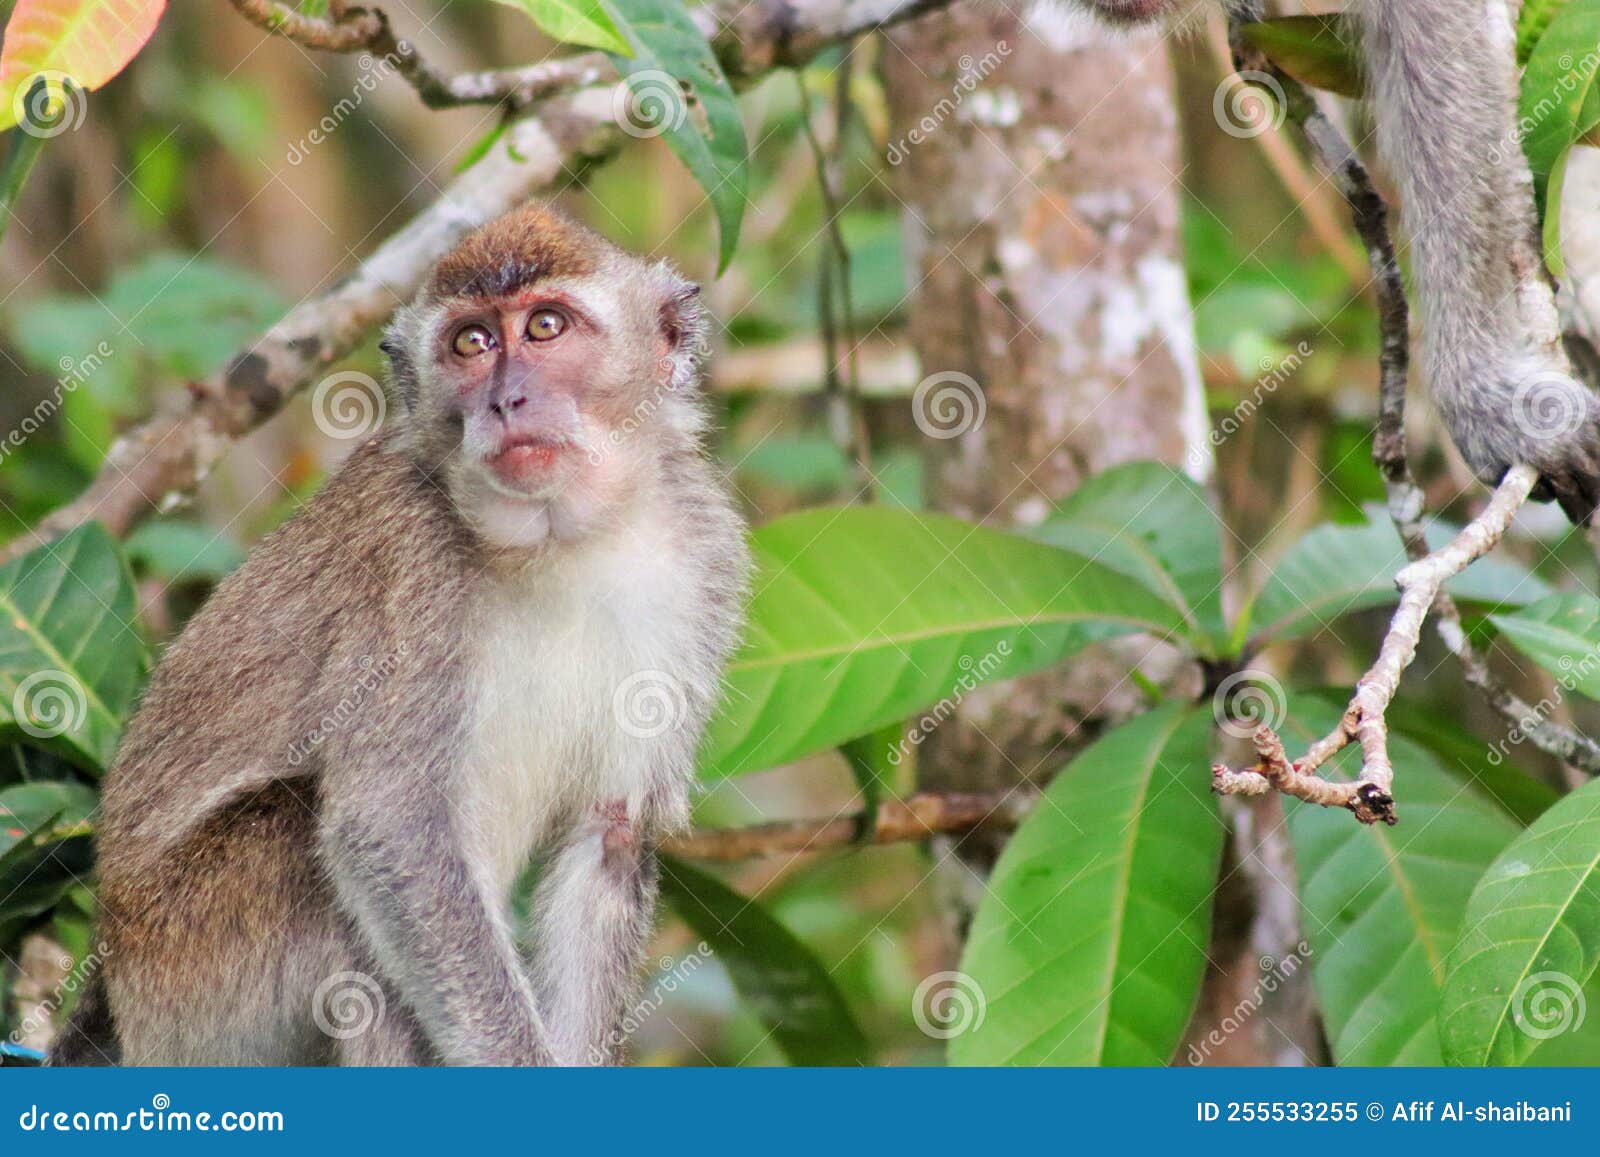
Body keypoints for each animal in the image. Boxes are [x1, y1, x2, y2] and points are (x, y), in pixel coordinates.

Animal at [47, 203, 749, 1066]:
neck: (557, 540)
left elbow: (610, 833)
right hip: (185, 979)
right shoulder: (414, 570)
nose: (507, 401)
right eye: (471, 343)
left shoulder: (702, 559)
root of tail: (113, 991)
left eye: (545, 326)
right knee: (317, 875)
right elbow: (390, 831)